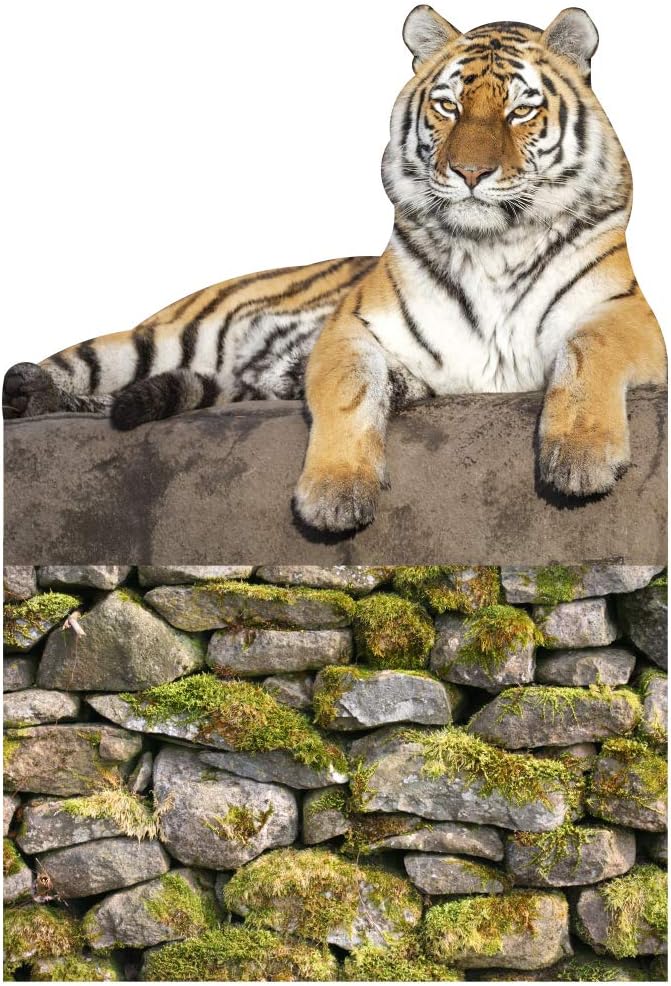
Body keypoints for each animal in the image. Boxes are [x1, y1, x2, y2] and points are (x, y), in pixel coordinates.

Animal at [3, 6, 666, 533]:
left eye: (521, 111)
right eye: (448, 106)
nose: (470, 173)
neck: (493, 245)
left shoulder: (627, 319)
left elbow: (587, 352)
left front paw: (580, 457)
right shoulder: (351, 331)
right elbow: (351, 393)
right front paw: (335, 495)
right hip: (160, 338)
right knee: (61, 373)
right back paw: (31, 388)